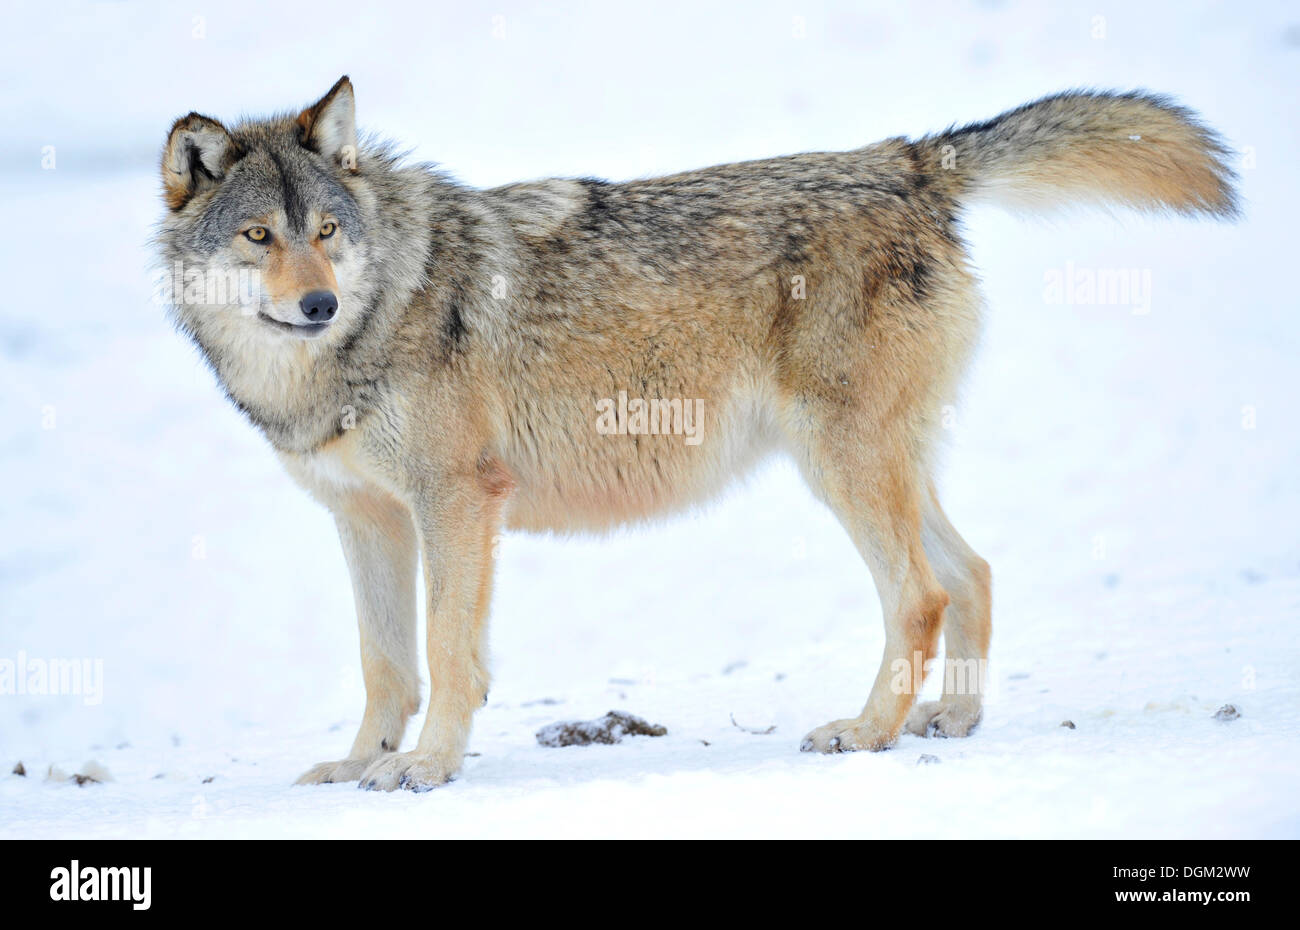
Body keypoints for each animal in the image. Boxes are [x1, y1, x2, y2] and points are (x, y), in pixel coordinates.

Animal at [157, 77, 1237, 790]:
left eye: (326, 231)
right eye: (260, 237)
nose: (319, 304)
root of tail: (910, 161)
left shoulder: (458, 500)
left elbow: (448, 652)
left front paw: (426, 769)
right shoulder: (367, 518)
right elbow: (386, 662)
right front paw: (357, 767)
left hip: (840, 466)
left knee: (923, 594)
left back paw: (865, 733)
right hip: (869, 462)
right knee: (972, 571)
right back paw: (954, 718)